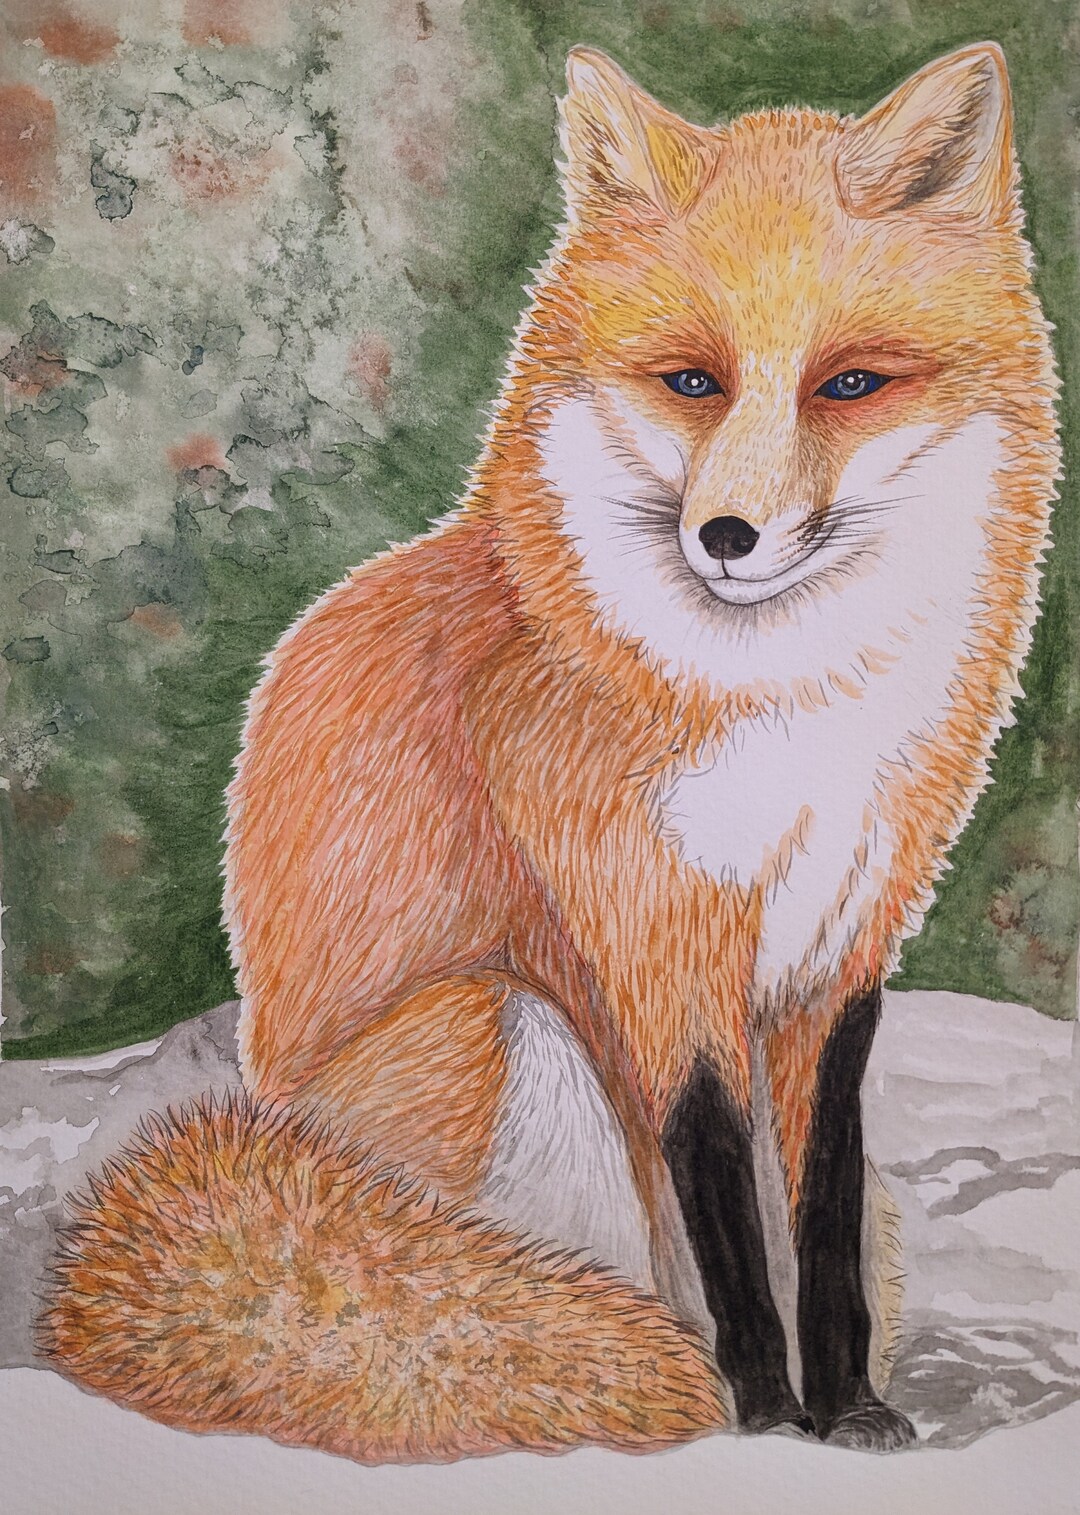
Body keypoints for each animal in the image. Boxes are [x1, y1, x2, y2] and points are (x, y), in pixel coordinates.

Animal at [42, 41, 1059, 1461]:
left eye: (849, 384)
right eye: (693, 381)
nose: (729, 537)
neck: (789, 712)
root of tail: (257, 1109)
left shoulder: (843, 946)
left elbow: (822, 1217)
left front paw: (849, 1410)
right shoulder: (650, 937)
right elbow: (725, 1223)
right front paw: (765, 1421)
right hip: (508, 1025)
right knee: (577, 1290)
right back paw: (673, 1400)